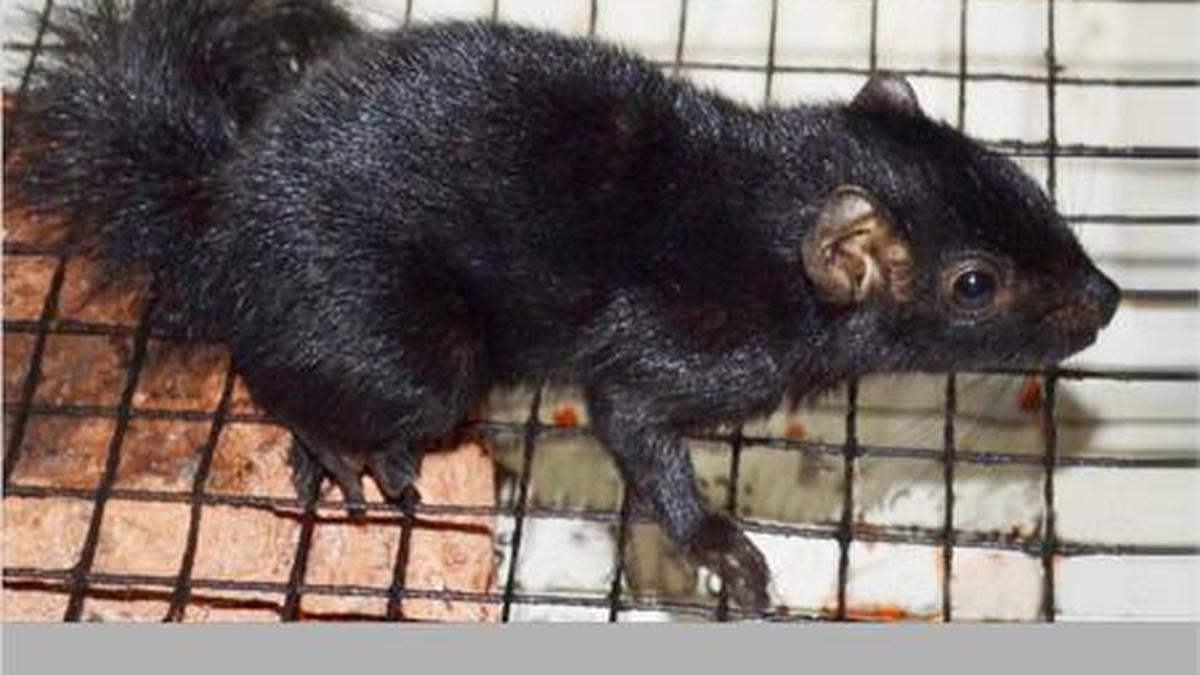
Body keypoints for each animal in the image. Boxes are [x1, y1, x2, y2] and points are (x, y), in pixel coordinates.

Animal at [8, 0, 1119, 614]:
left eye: (1020, 180)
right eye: (974, 283)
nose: (1104, 299)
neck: (760, 208)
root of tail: (222, 209)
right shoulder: (681, 336)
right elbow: (633, 416)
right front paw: (725, 555)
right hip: (412, 341)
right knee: (277, 368)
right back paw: (344, 448)